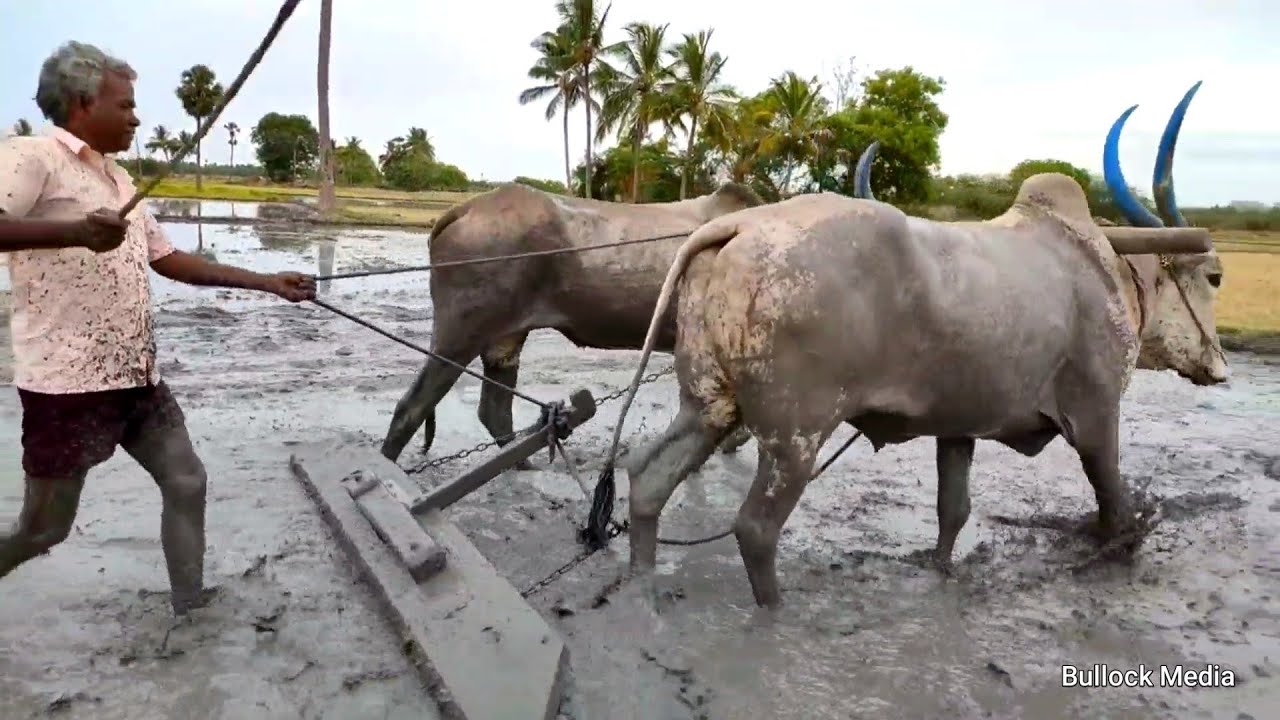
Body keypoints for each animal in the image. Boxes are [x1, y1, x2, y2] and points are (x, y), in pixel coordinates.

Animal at [607, 85, 1227, 609]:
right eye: (1214, 276)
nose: (1219, 368)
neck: (1104, 268)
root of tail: (739, 229)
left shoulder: (959, 426)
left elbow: (953, 512)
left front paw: (942, 571)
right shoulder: (1096, 417)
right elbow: (1115, 510)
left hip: (707, 406)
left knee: (647, 481)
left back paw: (641, 581)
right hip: (795, 436)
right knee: (755, 528)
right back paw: (774, 612)